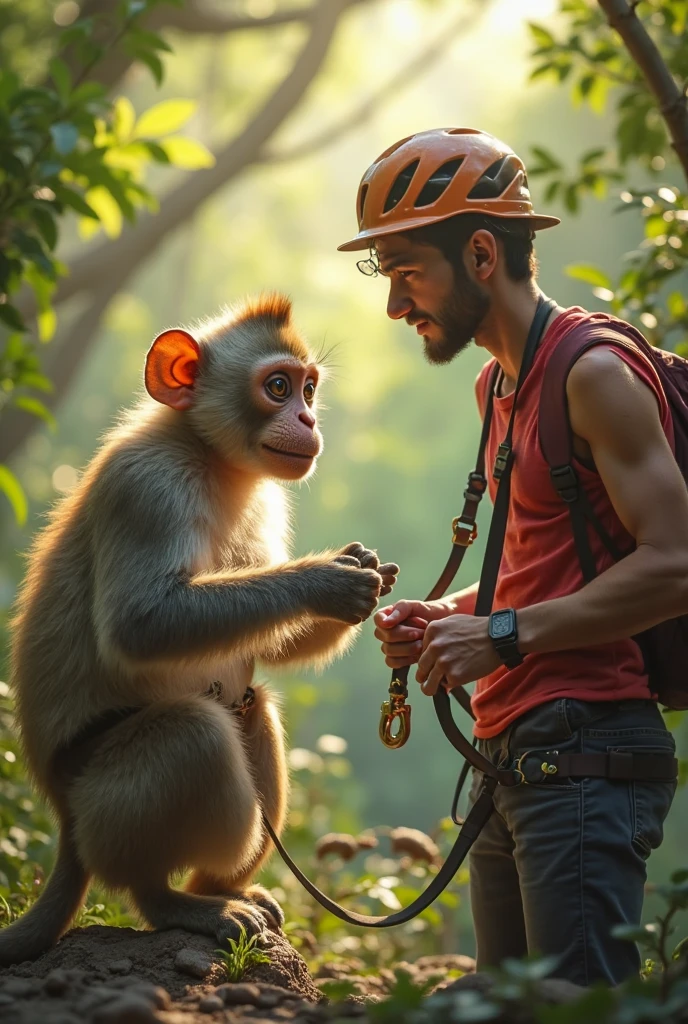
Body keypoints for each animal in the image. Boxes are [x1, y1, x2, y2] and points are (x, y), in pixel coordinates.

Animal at [0, 294, 399, 966]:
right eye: (277, 387)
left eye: (309, 389)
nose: (308, 419)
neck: (213, 460)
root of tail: (64, 820)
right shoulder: (149, 486)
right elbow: (141, 624)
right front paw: (327, 580)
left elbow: (266, 645)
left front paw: (364, 575)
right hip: (101, 791)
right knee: (196, 733)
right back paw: (173, 901)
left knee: (252, 707)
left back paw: (221, 888)